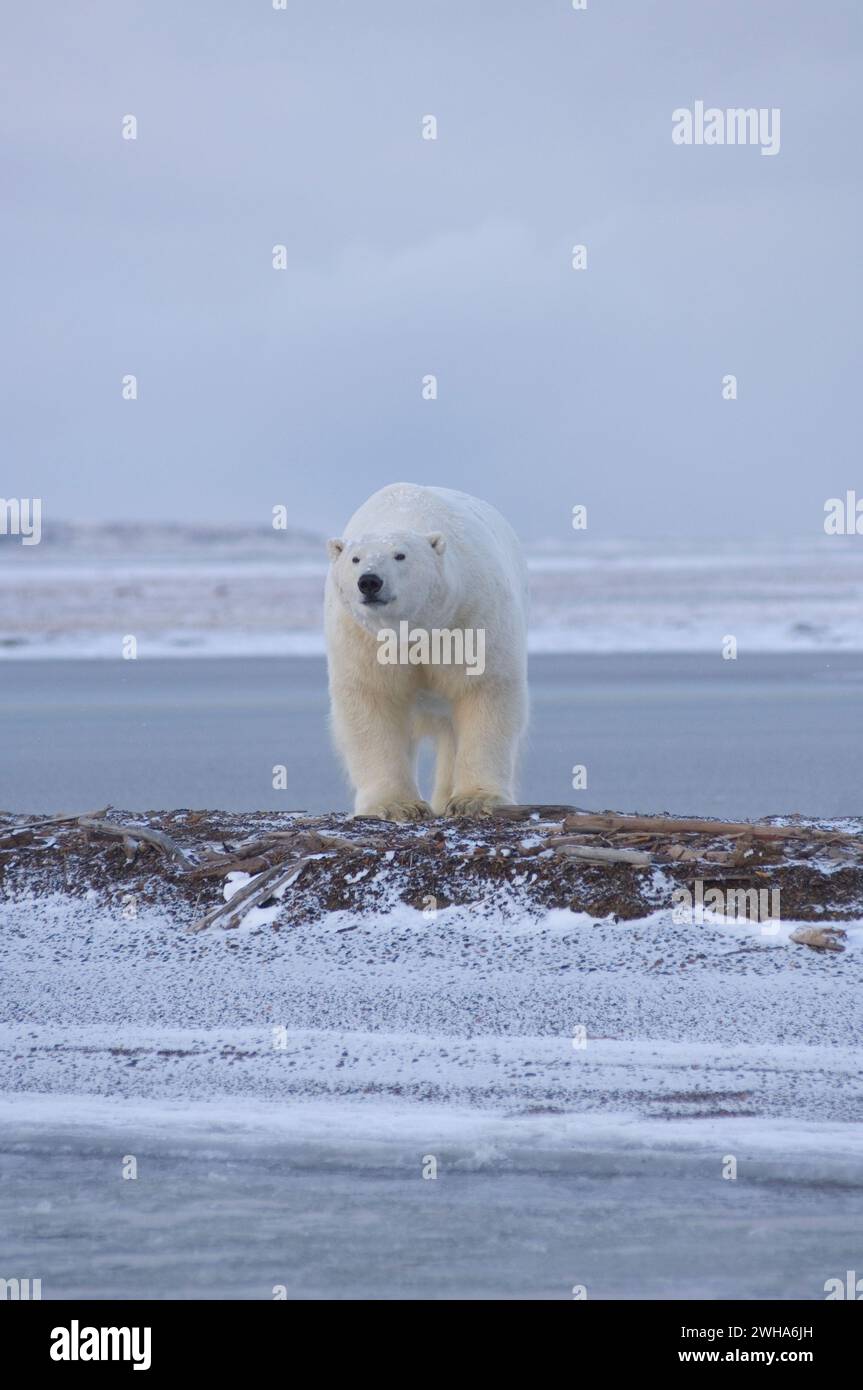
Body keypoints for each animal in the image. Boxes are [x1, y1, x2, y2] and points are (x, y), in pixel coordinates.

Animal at [325, 482, 529, 821]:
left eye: (400, 555)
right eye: (355, 558)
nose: (370, 581)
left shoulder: (470, 616)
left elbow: (484, 691)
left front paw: (476, 799)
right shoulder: (362, 638)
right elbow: (372, 700)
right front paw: (395, 805)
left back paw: (446, 798)